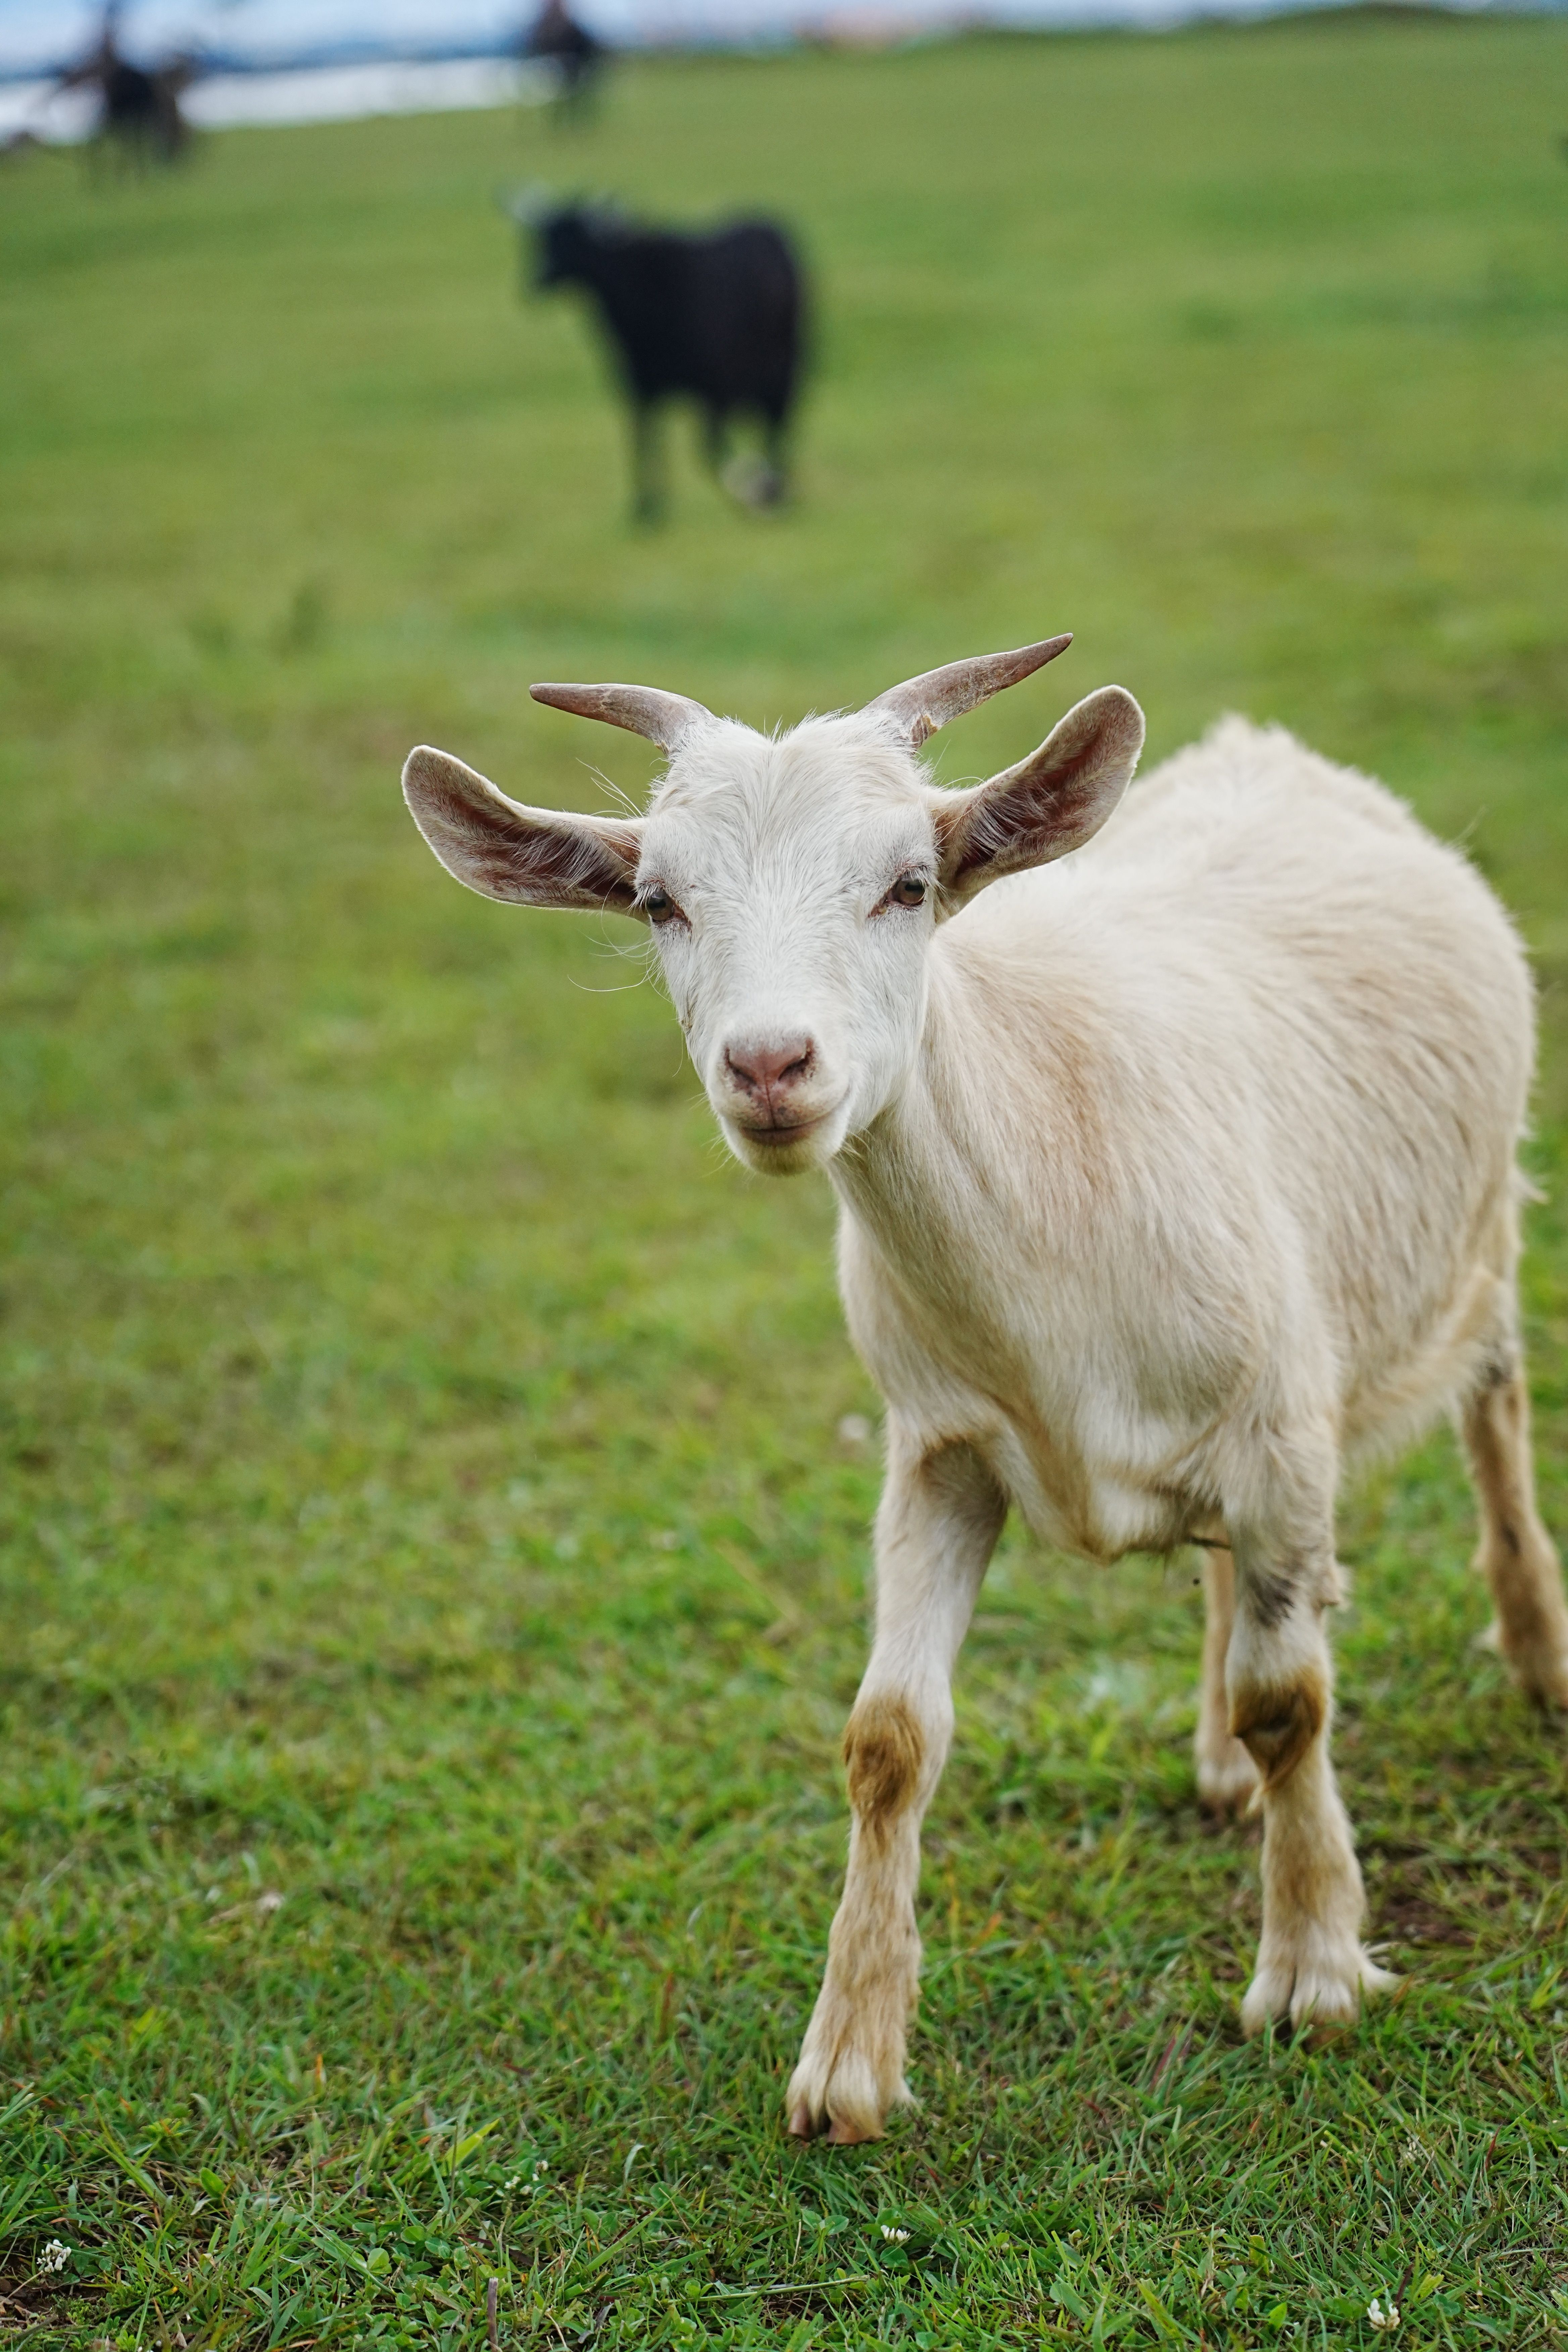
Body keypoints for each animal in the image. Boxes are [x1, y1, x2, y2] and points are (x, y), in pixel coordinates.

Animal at [401, 639, 1568, 2144]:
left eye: (909, 883)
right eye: (659, 900)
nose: (770, 1066)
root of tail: (1268, 750)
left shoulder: (1284, 1443)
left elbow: (1292, 1700)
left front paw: (1312, 1976)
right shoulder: (939, 1447)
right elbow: (888, 1736)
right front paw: (847, 2062)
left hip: (1472, 1241)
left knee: (1495, 1402)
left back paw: (1537, 1652)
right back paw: (1216, 1767)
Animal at [514, 200, 805, 522]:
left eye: (572, 241)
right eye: (541, 239)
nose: (535, 281)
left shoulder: (715, 389)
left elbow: (708, 449)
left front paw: (756, 490)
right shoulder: (639, 390)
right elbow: (644, 443)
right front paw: (646, 512)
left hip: (783, 370)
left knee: (779, 424)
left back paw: (777, 490)